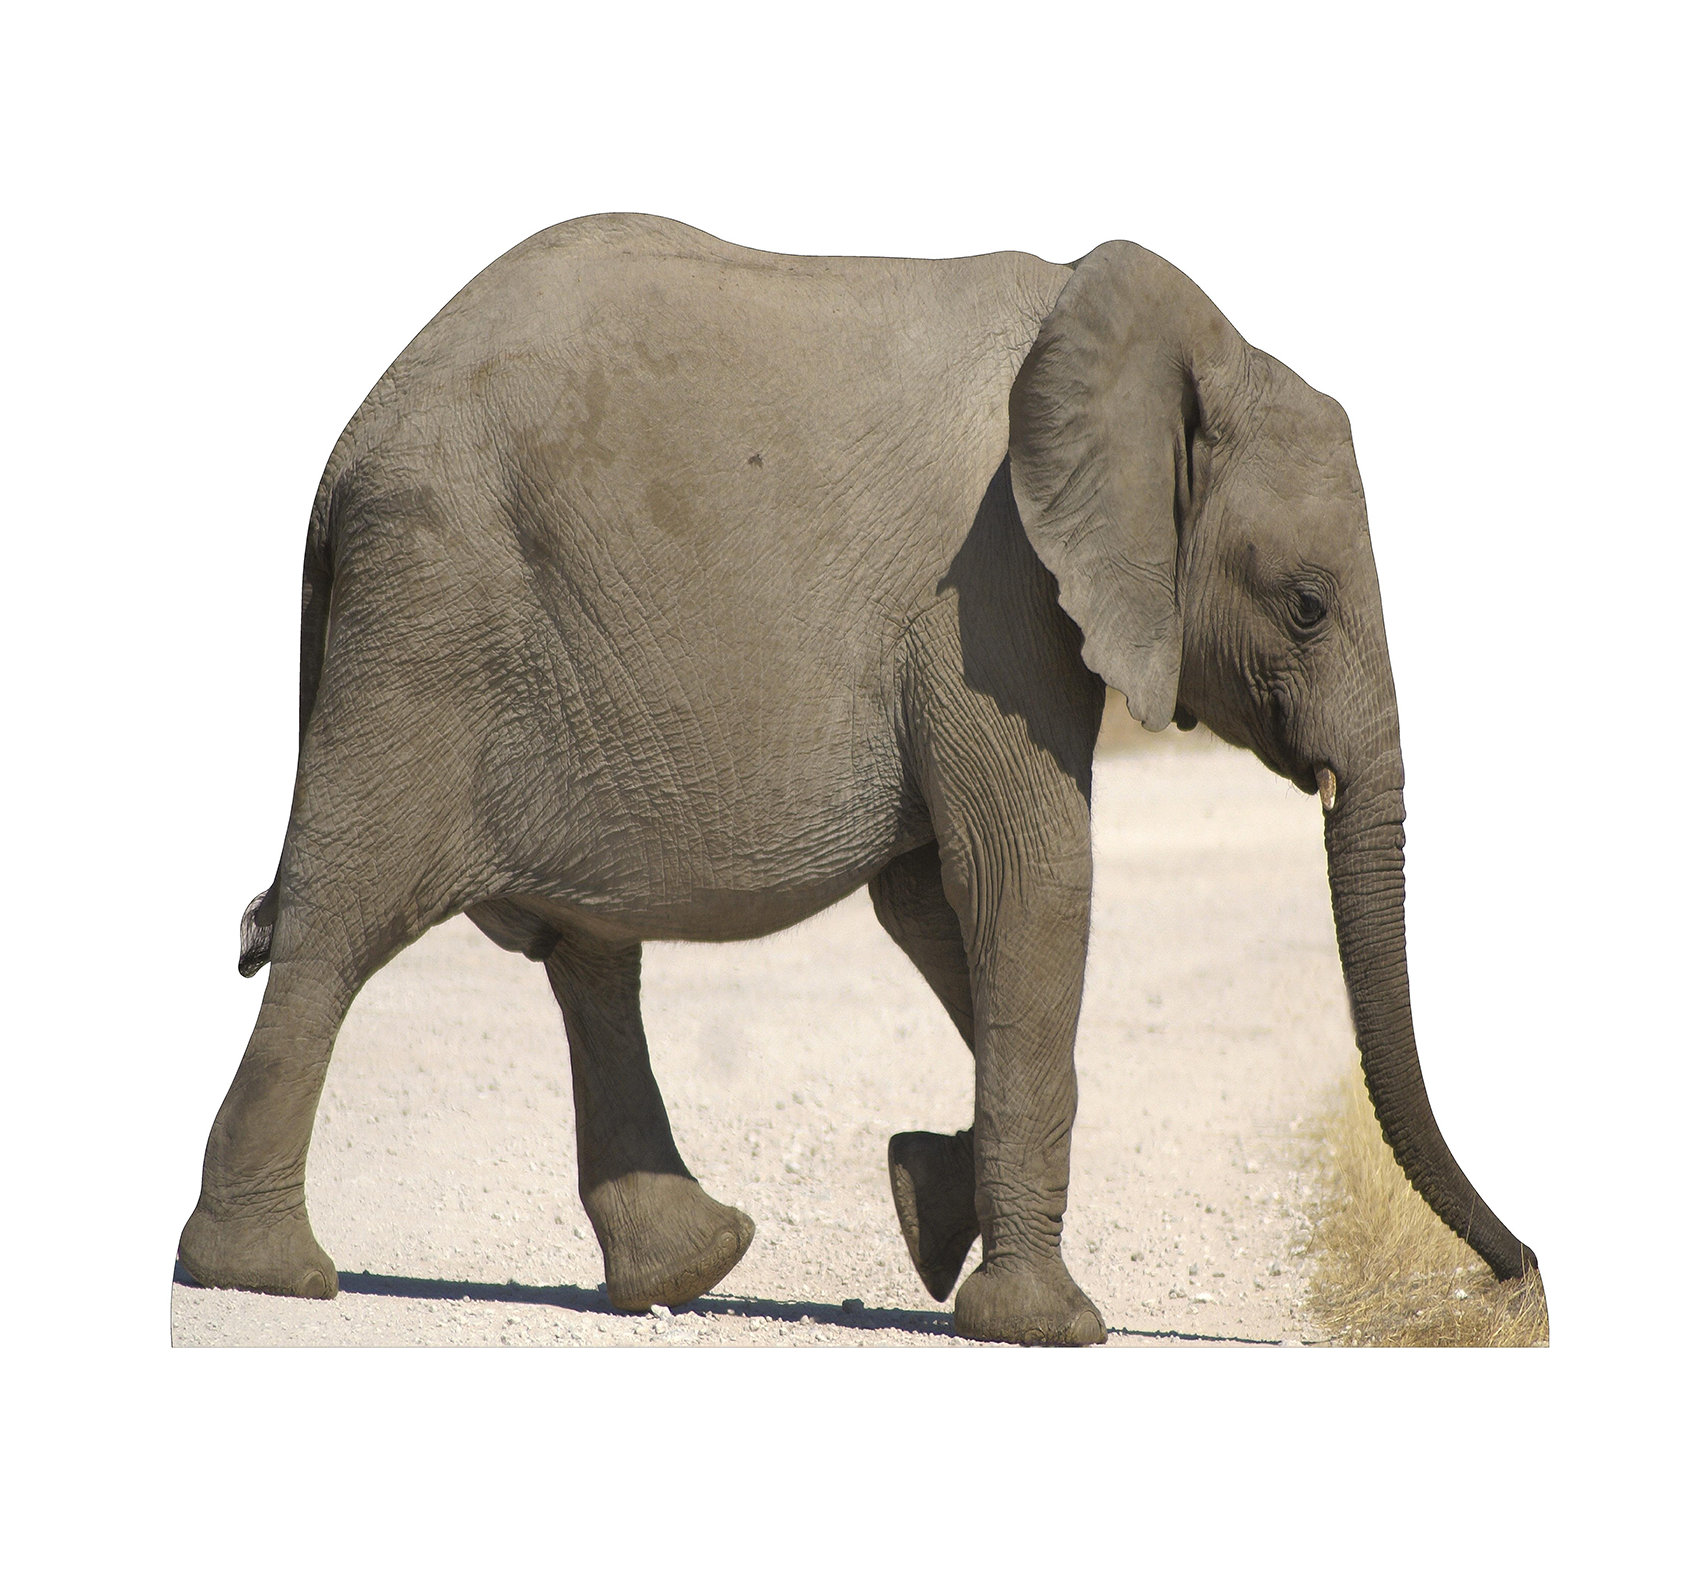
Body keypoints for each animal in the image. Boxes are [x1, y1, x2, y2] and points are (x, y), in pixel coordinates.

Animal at [179, 213, 1537, 1346]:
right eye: (1304, 604)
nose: (1517, 1279)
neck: (1166, 353)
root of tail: (345, 450)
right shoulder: (990, 589)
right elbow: (1027, 878)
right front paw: (1041, 1324)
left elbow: (938, 901)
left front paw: (925, 1199)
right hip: (430, 626)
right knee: (343, 921)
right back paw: (269, 1274)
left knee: (586, 956)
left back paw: (687, 1267)